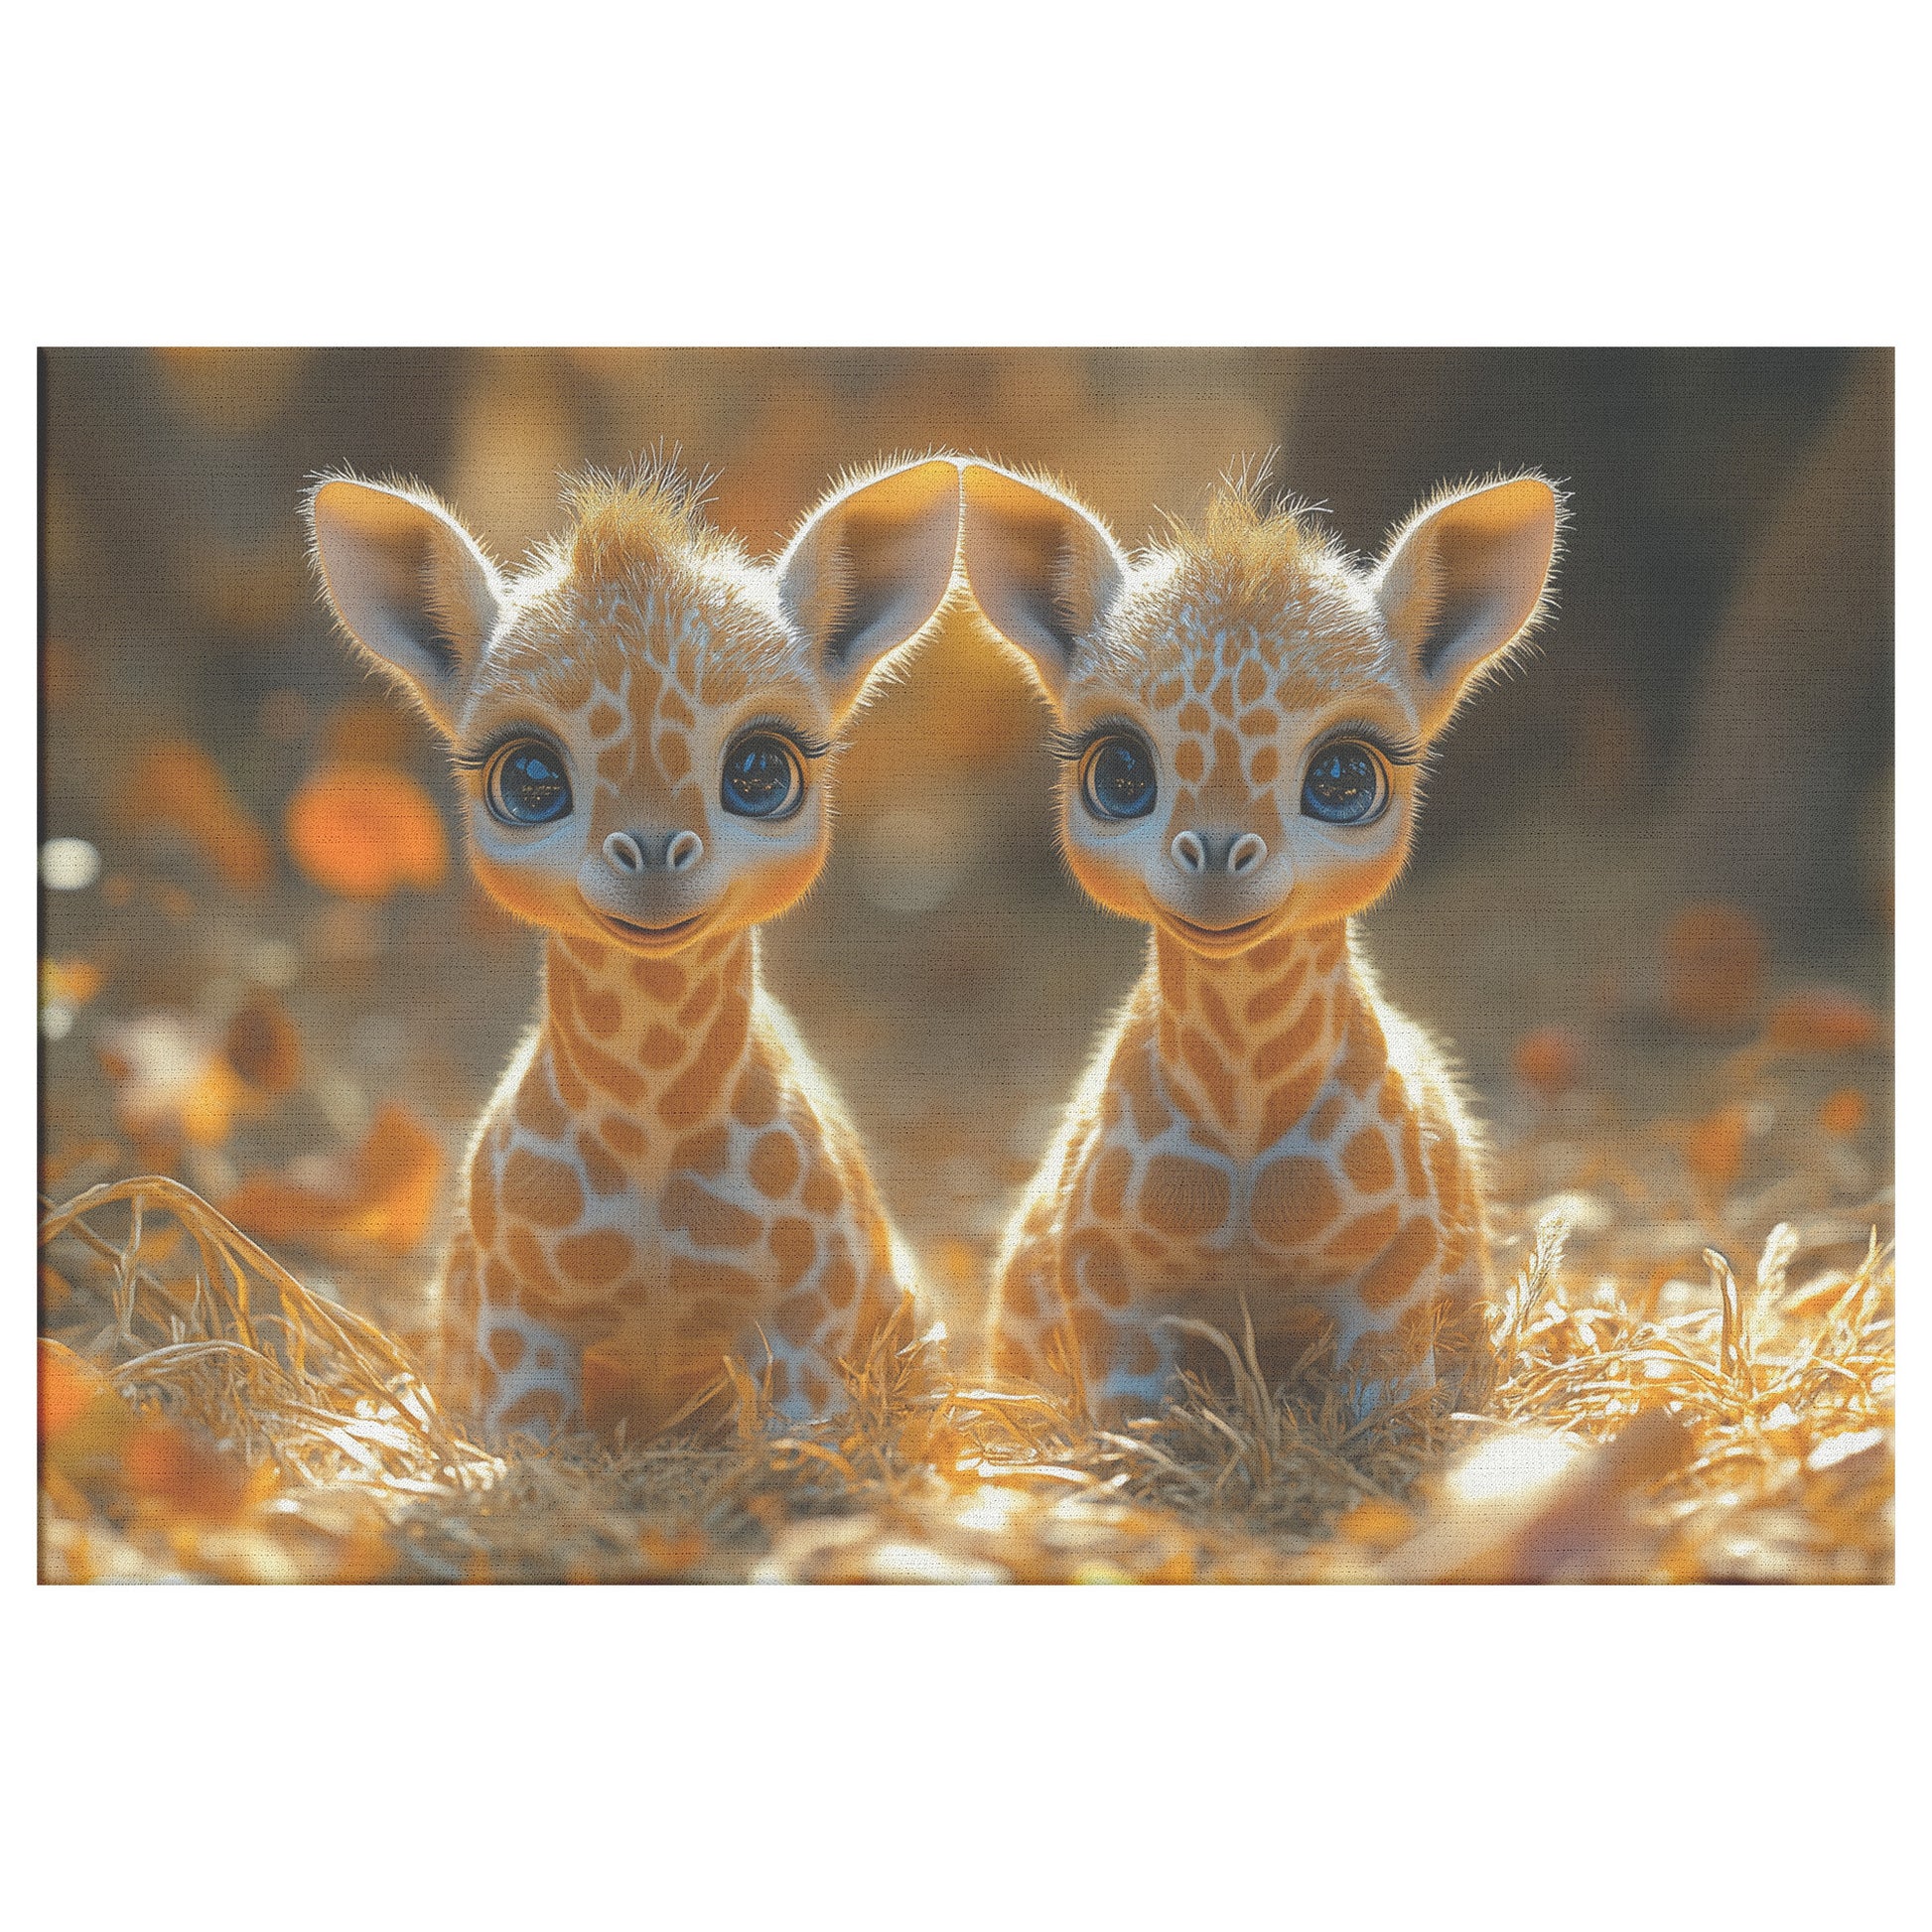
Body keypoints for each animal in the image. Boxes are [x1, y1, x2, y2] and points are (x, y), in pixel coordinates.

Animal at [304, 455, 962, 1443]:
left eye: (762, 768)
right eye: (527, 776)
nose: (652, 854)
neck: (652, 1150)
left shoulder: (810, 1308)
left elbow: (805, 1440)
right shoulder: (515, 1314)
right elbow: (524, 1440)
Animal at [957, 459, 1562, 1416]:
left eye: (1346, 775)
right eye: (1118, 770)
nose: (1215, 854)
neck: (1243, 1123)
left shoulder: (1394, 1266)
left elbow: (1387, 1403)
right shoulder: (1103, 1270)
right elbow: (1127, 1417)